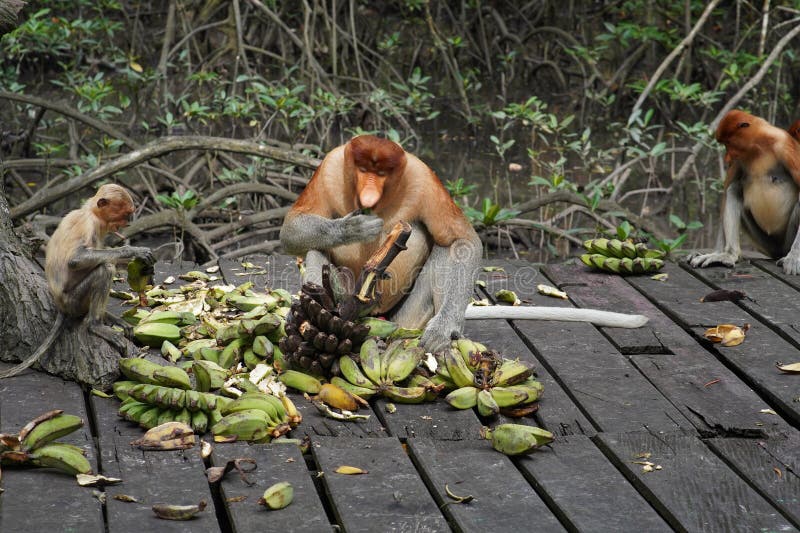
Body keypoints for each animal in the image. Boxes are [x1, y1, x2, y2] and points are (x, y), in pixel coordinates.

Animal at [0, 184, 155, 378]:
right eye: (126, 213)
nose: (128, 222)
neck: (90, 211)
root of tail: (60, 305)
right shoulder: (88, 224)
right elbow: (76, 259)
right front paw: (134, 251)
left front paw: (145, 267)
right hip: (73, 300)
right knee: (104, 269)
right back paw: (95, 325)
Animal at [280, 135, 648, 353]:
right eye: (361, 168)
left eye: (382, 173)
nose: (369, 190)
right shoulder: (331, 166)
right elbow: (292, 228)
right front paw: (353, 227)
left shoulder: (423, 178)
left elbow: (462, 241)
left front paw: (445, 330)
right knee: (315, 249)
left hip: (405, 315)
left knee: (442, 248)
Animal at [688, 110, 800, 274]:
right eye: (724, 144)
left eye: (729, 143)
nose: (727, 158)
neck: (758, 146)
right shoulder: (739, 159)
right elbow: (726, 191)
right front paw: (717, 253)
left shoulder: (785, 146)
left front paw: (794, 259)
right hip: (765, 242)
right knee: (734, 189)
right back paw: (728, 255)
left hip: (785, 241)